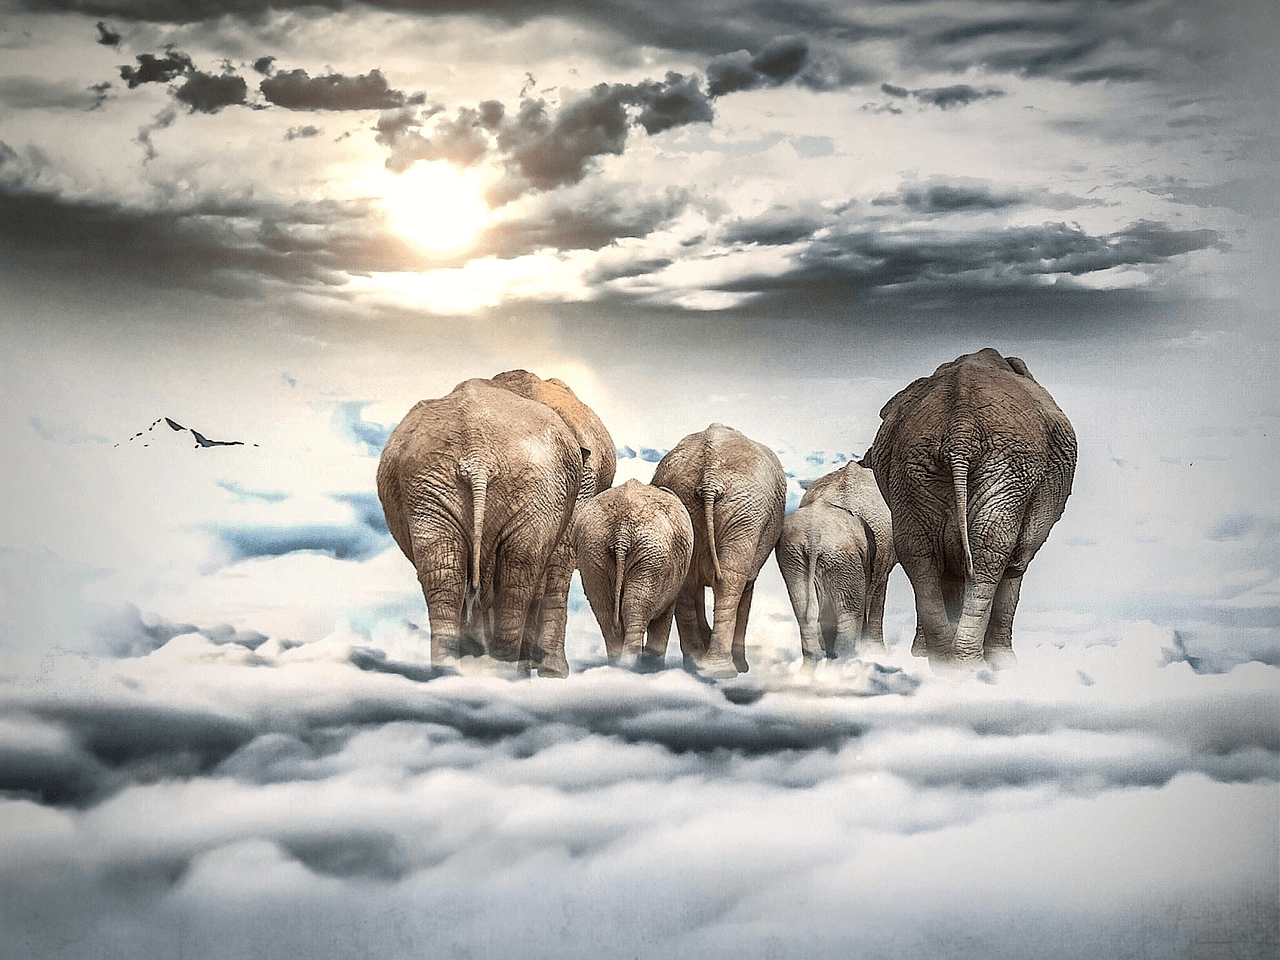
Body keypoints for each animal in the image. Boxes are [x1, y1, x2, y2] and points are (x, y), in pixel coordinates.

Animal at [376, 378, 583, 672]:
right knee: (514, 576)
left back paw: (454, 670)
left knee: (447, 571)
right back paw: (501, 671)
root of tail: (478, 456)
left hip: (430, 485)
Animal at [571, 479, 694, 668]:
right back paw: (630, 667)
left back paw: (617, 667)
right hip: (650, 555)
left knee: (604, 610)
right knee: (634, 608)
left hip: (593, 550)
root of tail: (622, 531)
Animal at [650, 422, 787, 677]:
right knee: (730, 581)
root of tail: (709, 476)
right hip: (745, 513)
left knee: (686, 581)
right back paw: (722, 671)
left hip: (691, 503)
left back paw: (696, 666)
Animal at [776, 461, 896, 664]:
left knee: (802, 606)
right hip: (840, 557)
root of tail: (814, 537)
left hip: (796, 556)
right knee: (850, 610)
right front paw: (877, 653)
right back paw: (845, 660)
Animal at [863, 347, 1076, 671]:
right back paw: (969, 666)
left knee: (920, 553)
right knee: (989, 553)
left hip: (914, 469)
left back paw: (946, 664)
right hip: (1007, 469)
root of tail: (960, 429)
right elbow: (1015, 563)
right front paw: (1005, 665)